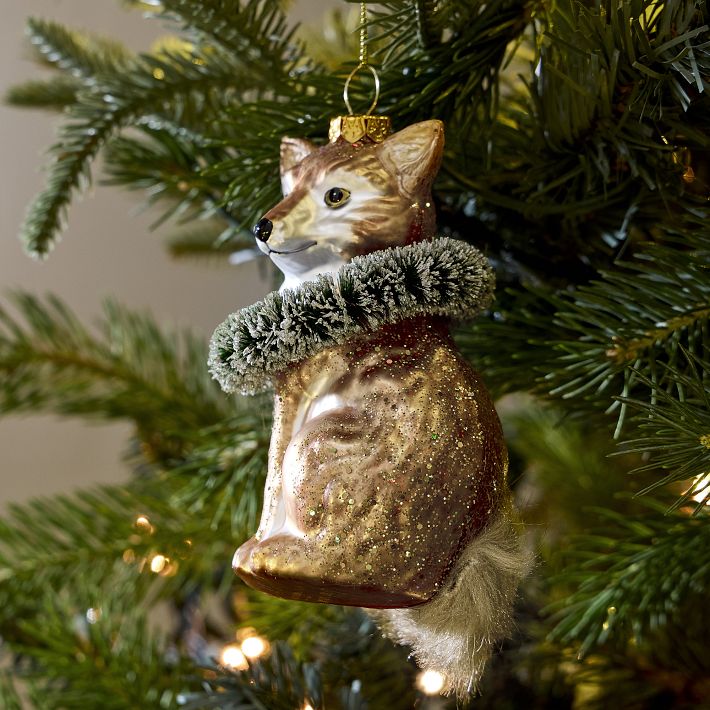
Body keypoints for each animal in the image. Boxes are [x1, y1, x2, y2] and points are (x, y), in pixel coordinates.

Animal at [229, 120, 530, 693]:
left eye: (336, 196)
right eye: (288, 190)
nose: (262, 226)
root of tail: (449, 566)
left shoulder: (300, 389)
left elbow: (272, 477)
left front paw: (258, 540)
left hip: (322, 449)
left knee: (343, 561)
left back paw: (280, 557)